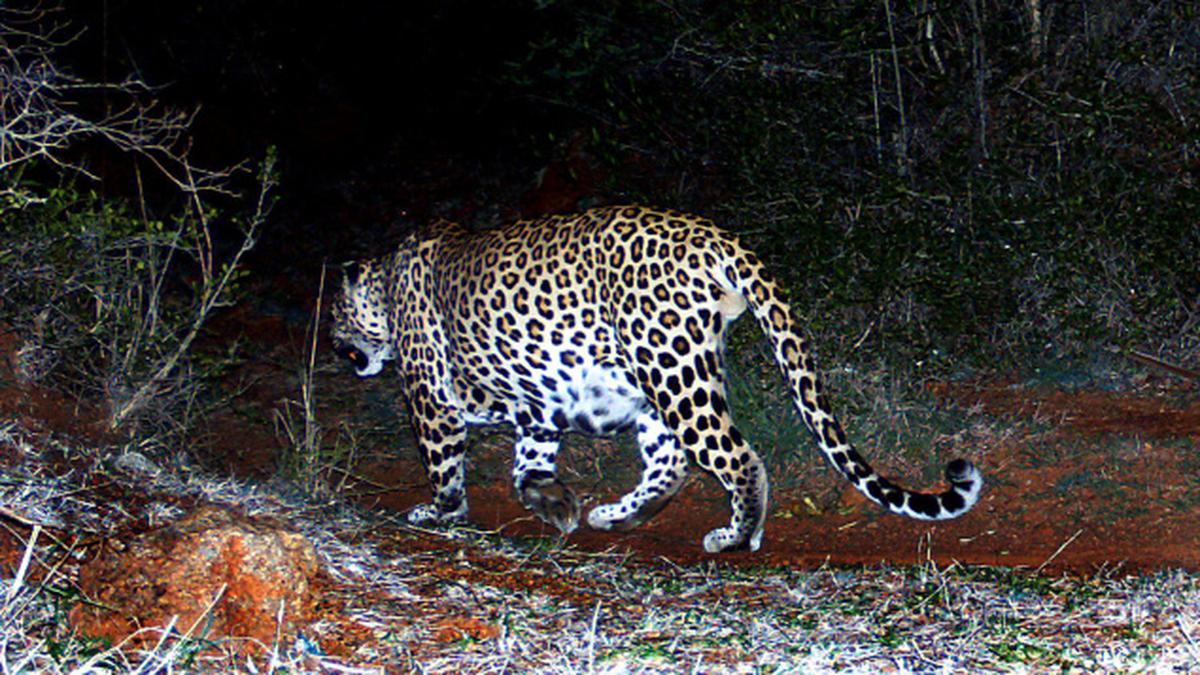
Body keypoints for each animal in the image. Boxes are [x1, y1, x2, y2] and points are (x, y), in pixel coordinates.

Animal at [331, 205, 984, 552]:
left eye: (335, 318)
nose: (339, 352)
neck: (386, 282)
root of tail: (714, 235)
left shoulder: (429, 397)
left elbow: (442, 463)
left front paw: (439, 511)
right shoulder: (538, 406)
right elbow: (528, 468)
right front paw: (556, 505)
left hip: (672, 371)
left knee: (737, 456)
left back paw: (736, 535)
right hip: (655, 381)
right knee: (671, 463)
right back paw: (619, 517)